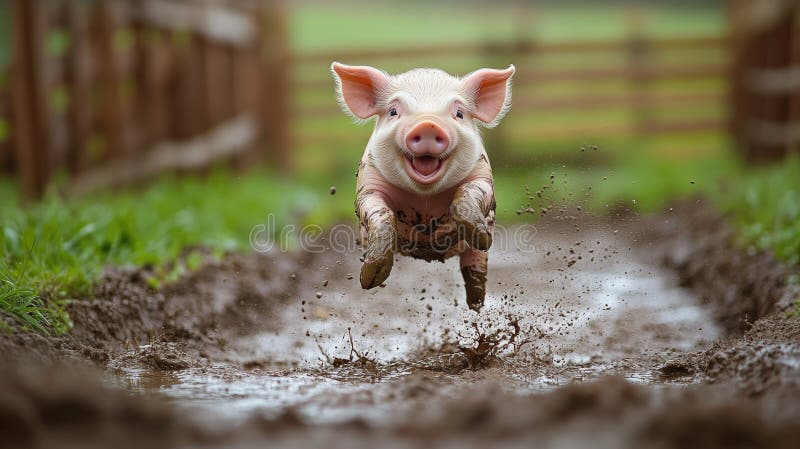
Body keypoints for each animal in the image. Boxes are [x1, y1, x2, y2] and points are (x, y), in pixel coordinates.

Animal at [331, 62, 515, 311]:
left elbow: (468, 195)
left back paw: (476, 304)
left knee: (474, 265)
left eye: (459, 113)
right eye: (393, 111)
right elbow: (380, 213)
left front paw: (482, 236)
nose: (428, 124)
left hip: (476, 257)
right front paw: (368, 280)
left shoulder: (482, 175)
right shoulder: (369, 183)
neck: (425, 199)